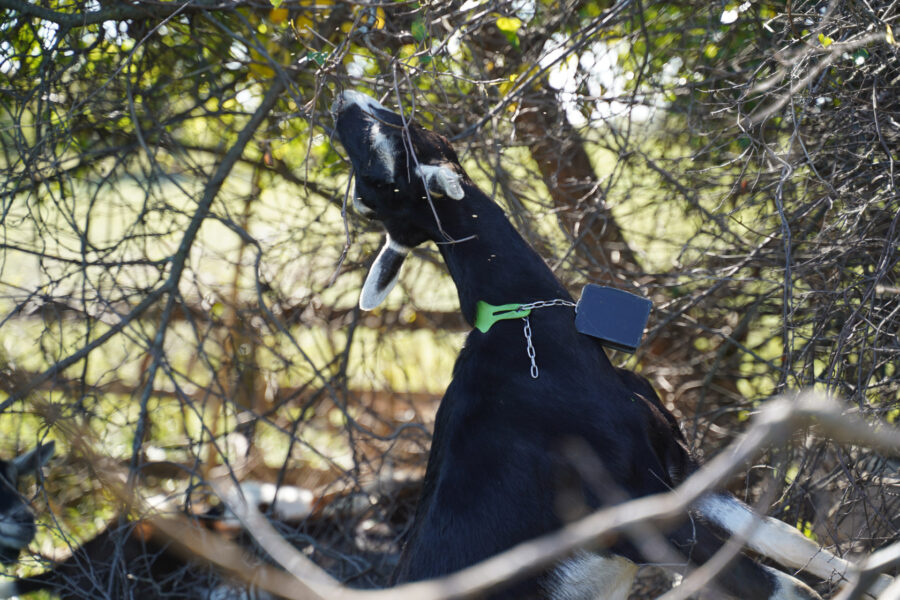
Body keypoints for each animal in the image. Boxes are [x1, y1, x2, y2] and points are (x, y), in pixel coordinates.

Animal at [331, 90, 894, 600]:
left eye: (380, 153)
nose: (339, 102)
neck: (531, 332)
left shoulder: (675, 469)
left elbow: (786, 540)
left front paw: (883, 579)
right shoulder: (634, 511)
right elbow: (775, 586)